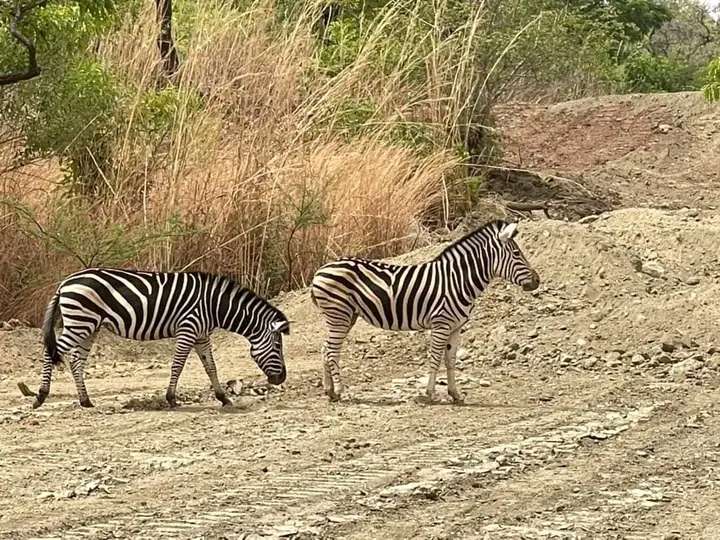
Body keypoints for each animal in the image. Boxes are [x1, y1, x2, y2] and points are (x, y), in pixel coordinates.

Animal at [23, 268, 290, 409]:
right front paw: (171, 398)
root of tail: (65, 282)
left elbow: (211, 367)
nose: (281, 379)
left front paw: (223, 397)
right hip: (80, 322)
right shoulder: (188, 328)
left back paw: (85, 400)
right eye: (277, 345)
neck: (214, 306)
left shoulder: (202, 335)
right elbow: (178, 365)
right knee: (51, 352)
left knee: (76, 360)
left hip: (88, 326)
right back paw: (41, 396)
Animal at [310, 220, 539, 403]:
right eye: (517, 254)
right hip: (339, 314)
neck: (458, 280)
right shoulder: (441, 324)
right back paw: (341, 391)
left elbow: (450, 360)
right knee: (332, 350)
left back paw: (330, 391)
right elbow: (435, 358)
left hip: (347, 316)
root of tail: (320, 271)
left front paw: (455, 394)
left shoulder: (456, 327)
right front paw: (429, 394)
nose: (537, 281)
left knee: (325, 348)